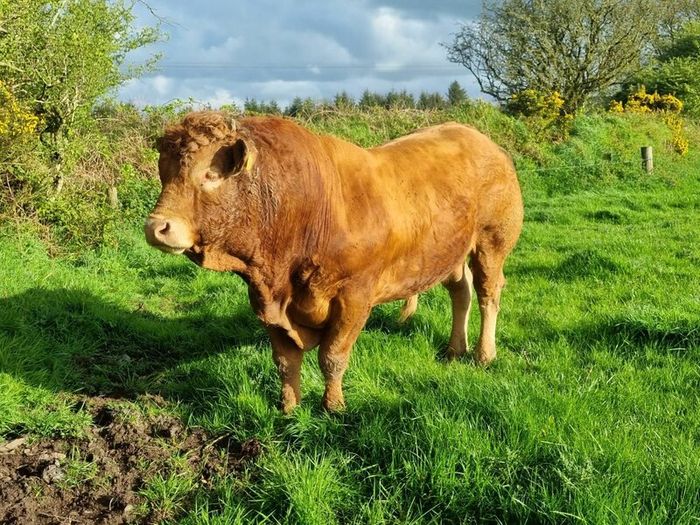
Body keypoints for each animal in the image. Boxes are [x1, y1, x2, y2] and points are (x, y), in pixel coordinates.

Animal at [145, 111, 523, 413]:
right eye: (164, 173)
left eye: (210, 174)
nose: (156, 227)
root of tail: (481, 140)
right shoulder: (265, 299)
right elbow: (286, 361)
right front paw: (289, 407)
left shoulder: (354, 297)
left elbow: (333, 356)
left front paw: (333, 406)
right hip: (450, 253)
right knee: (461, 293)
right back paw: (454, 349)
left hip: (491, 242)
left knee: (489, 294)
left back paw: (484, 354)